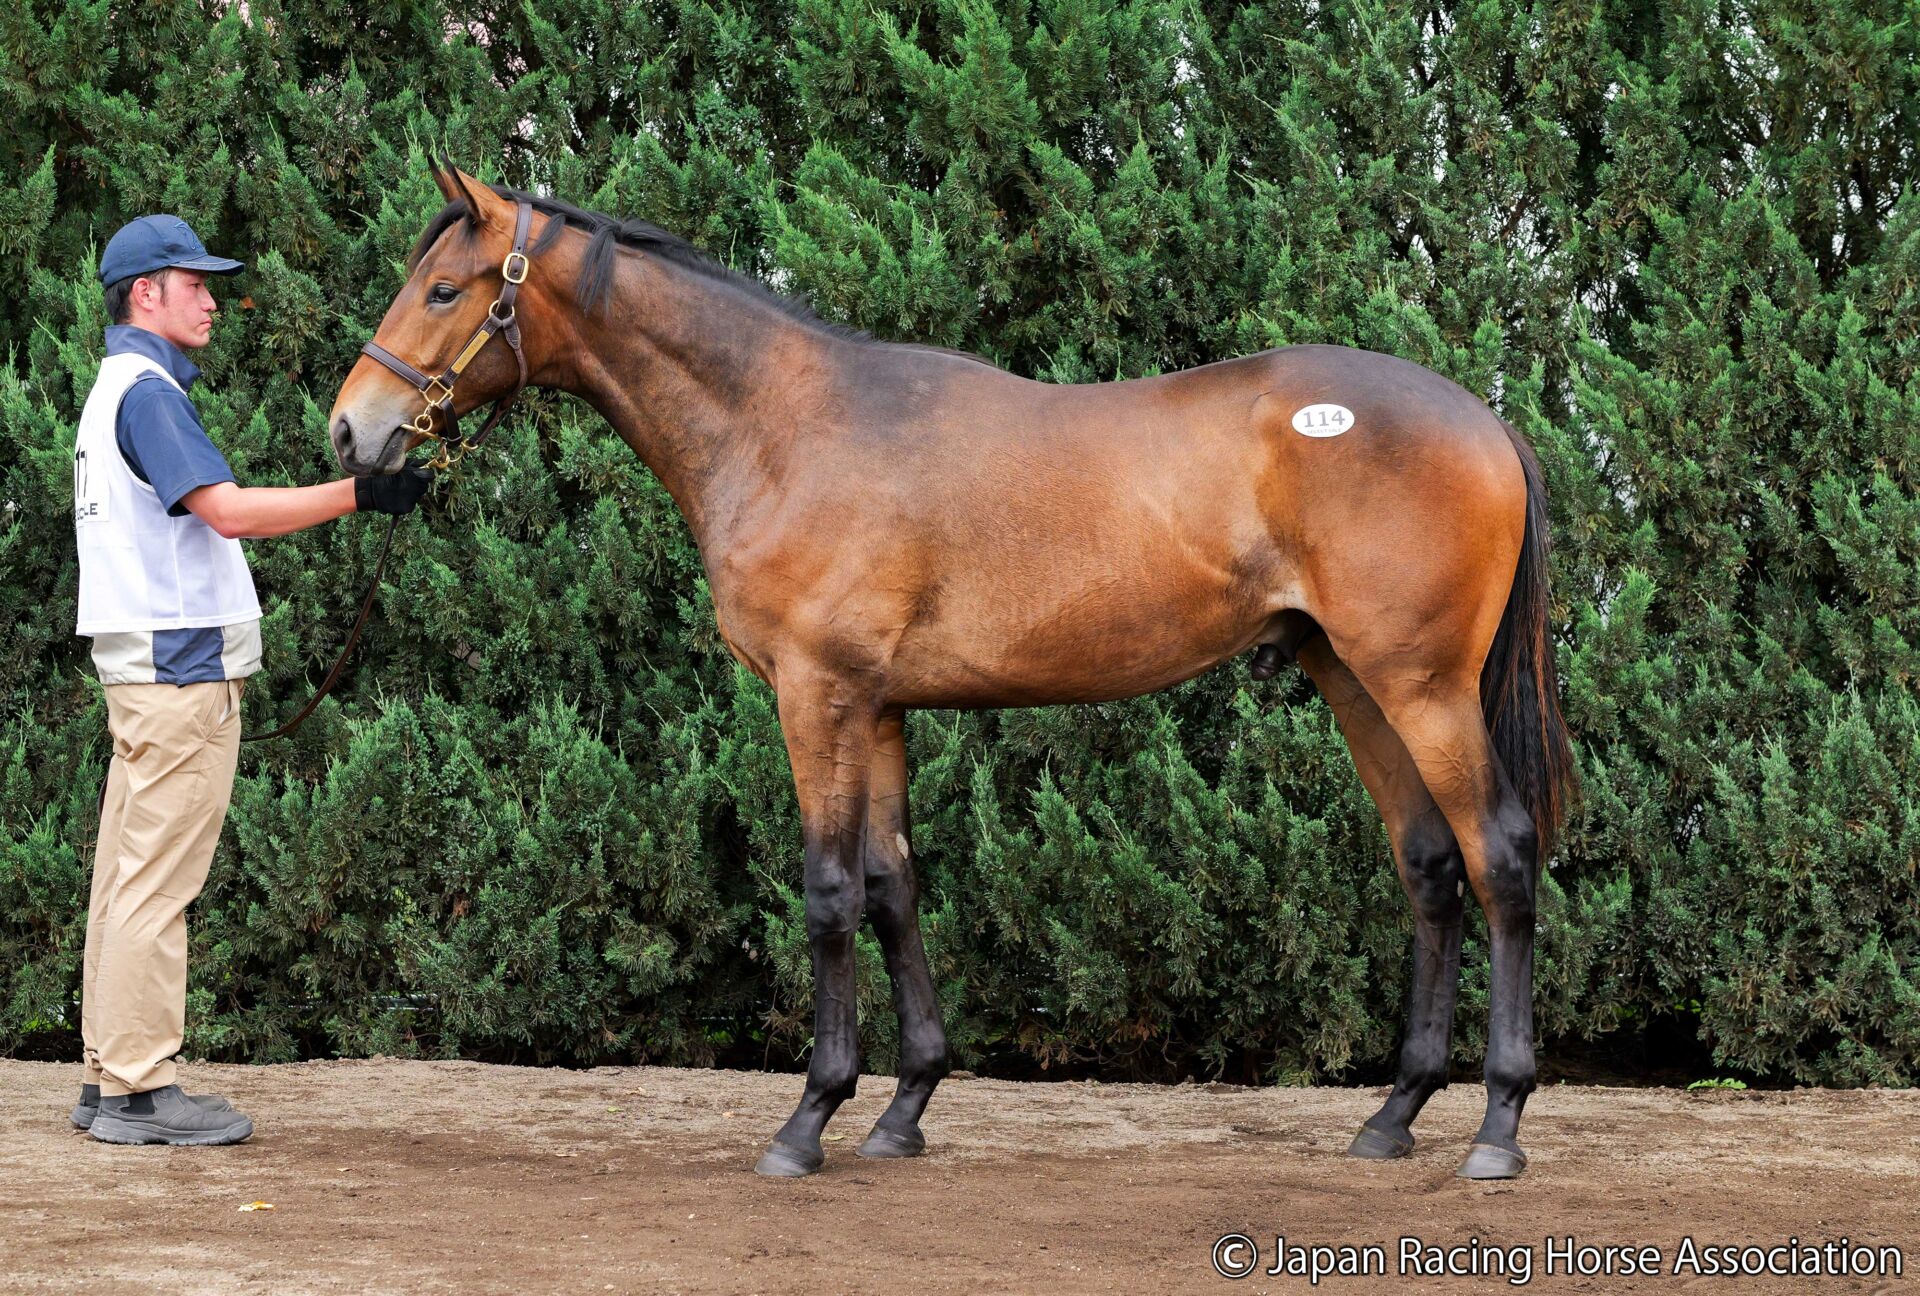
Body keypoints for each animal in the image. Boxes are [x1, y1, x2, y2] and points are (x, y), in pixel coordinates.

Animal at [328, 159, 1576, 1181]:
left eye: (445, 291)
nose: (351, 434)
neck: (786, 426)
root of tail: (1483, 422)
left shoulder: (816, 694)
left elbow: (829, 893)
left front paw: (808, 1121)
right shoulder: (877, 708)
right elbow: (893, 887)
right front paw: (903, 1110)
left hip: (1420, 688)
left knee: (1501, 855)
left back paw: (1497, 1129)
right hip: (1355, 682)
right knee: (1430, 866)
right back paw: (1394, 1115)